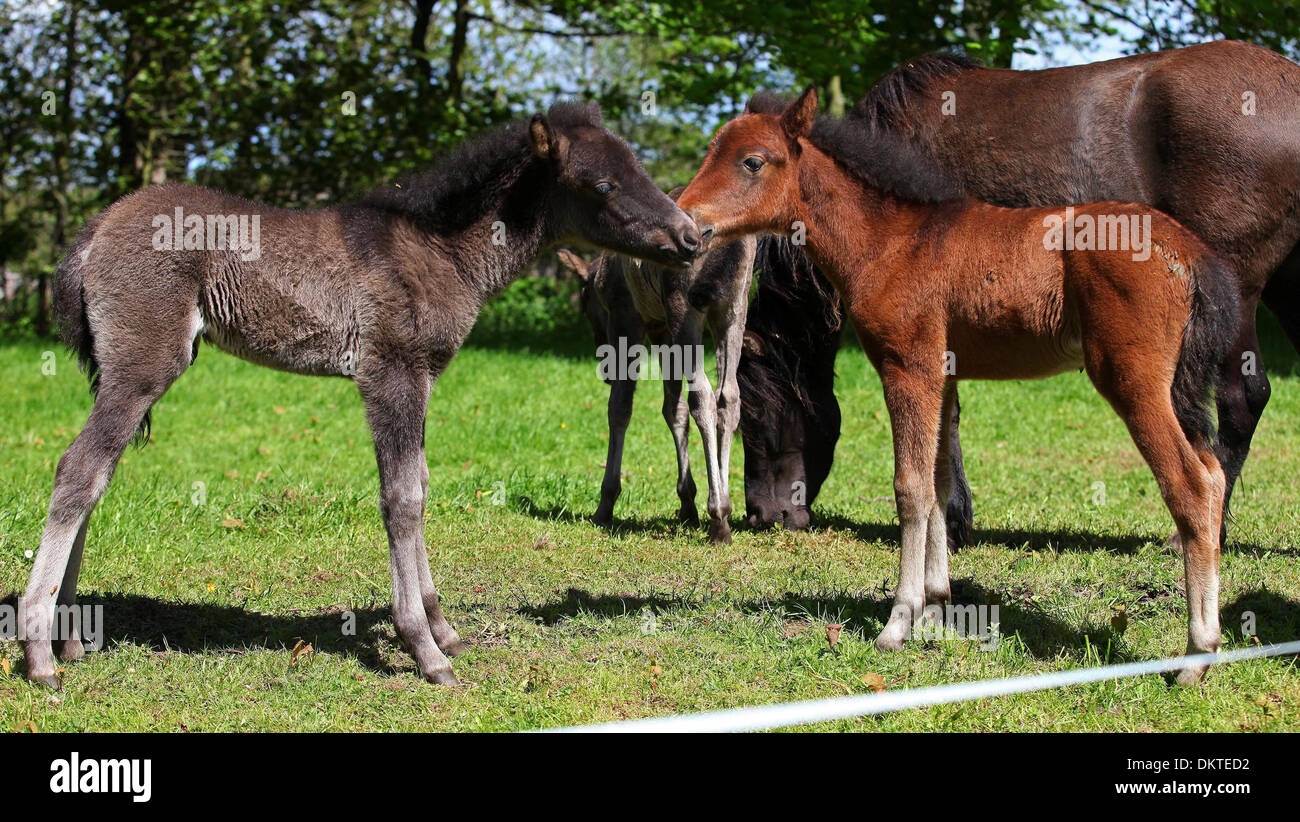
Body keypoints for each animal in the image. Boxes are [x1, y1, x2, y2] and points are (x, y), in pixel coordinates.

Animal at [20, 102, 701, 688]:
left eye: (638, 168)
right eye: (603, 185)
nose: (691, 238)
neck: (439, 249)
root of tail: (96, 229)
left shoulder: (421, 380)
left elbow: (419, 484)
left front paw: (444, 628)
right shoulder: (391, 376)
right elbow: (401, 499)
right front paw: (424, 649)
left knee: (98, 475)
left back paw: (71, 639)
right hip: (143, 366)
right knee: (78, 469)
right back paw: (39, 653)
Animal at [558, 223, 756, 544]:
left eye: (587, 307)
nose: (604, 369)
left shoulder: (627, 317)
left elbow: (620, 407)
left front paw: (606, 503)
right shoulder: (661, 329)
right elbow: (673, 410)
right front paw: (687, 501)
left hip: (684, 307)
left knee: (703, 395)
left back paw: (718, 513)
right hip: (734, 308)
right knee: (729, 396)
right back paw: (725, 502)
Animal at [678, 87, 1240, 683]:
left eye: (752, 162)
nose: (689, 224)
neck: (893, 241)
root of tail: (1189, 249)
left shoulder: (909, 366)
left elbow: (910, 488)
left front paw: (899, 623)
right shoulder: (943, 375)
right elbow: (940, 485)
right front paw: (936, 608)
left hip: (1134, 381)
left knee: (1190, 486)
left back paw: (1196, 655)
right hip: (1173, 388)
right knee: (1213, 474)